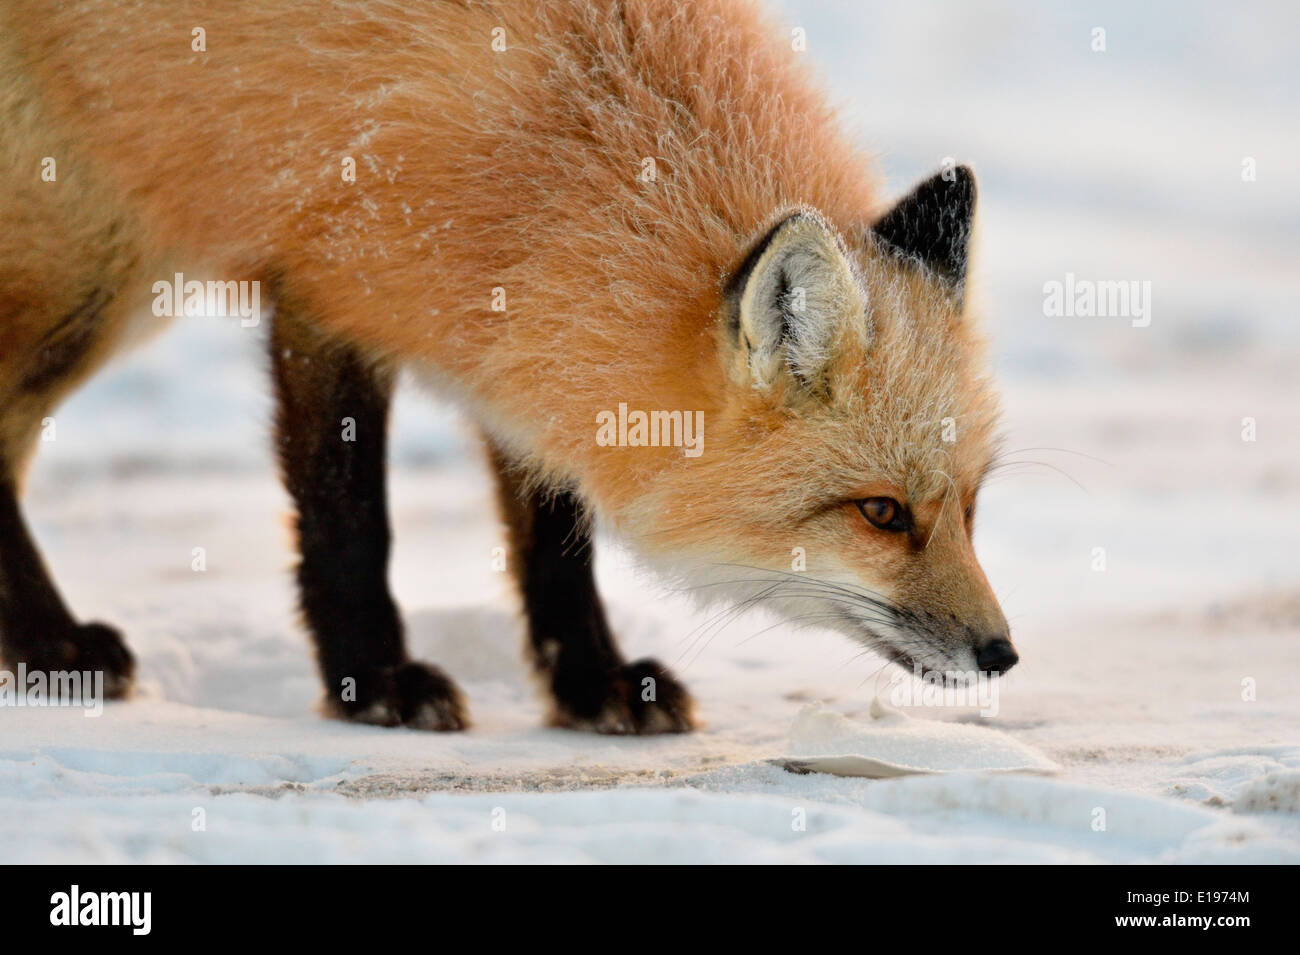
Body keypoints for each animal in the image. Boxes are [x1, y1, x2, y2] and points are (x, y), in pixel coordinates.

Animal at [0, 0, 1016, 734]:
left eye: (970, 508)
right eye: (880, 513)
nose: (1001, 654)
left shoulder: (523, 328)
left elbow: (553, 536)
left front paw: (593, 683)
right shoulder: (327, 284)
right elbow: (349, 519)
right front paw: (372, 681)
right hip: (96, 268)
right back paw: (51, 646)